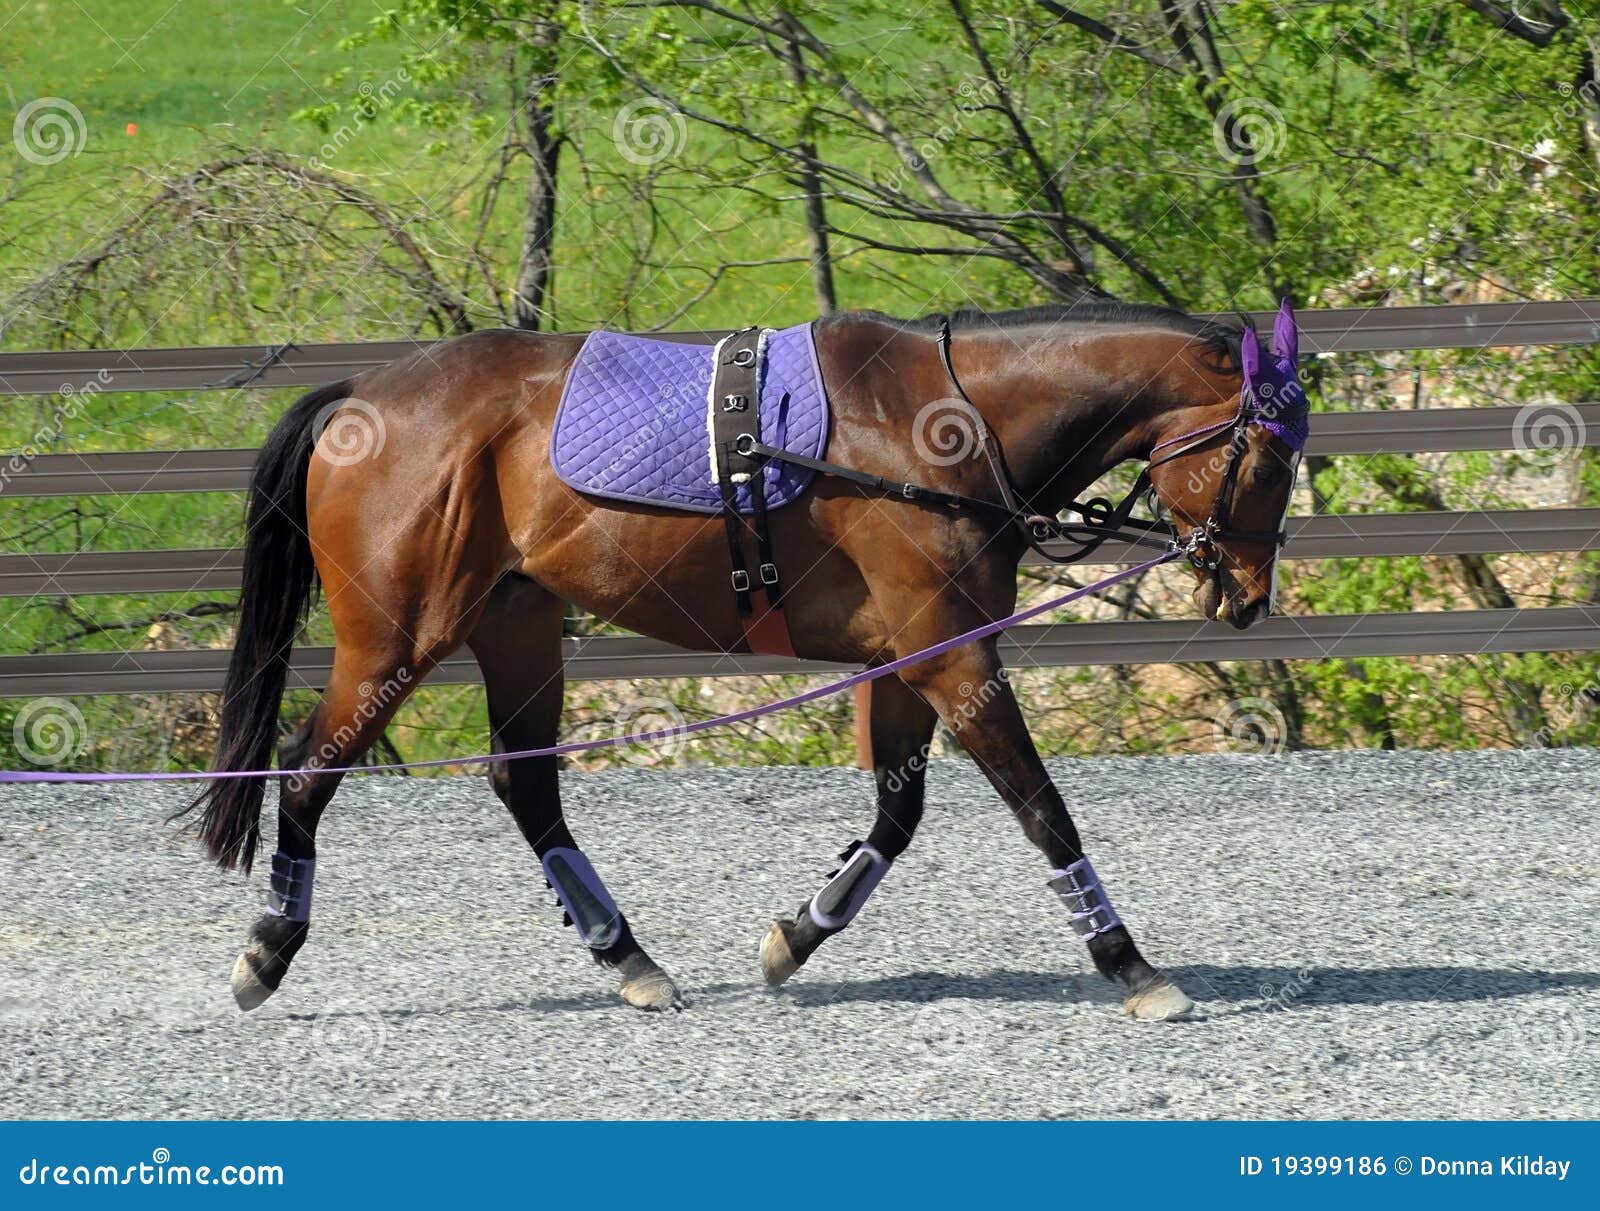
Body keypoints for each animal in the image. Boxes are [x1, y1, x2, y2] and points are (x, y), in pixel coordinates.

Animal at [186, 298, 1308, 1021]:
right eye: (1266, 457)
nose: (1246, 598)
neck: (944, 428)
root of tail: (358, 397)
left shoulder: (910, 660)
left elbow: (895, 819)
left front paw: (797, 933)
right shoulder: (951, 662)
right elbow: (1043, 809)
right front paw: (1129, 963)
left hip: (517, 624)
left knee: (524, 785)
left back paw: (629, 957)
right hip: (396, 642)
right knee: (307, 773)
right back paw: (266, 949)